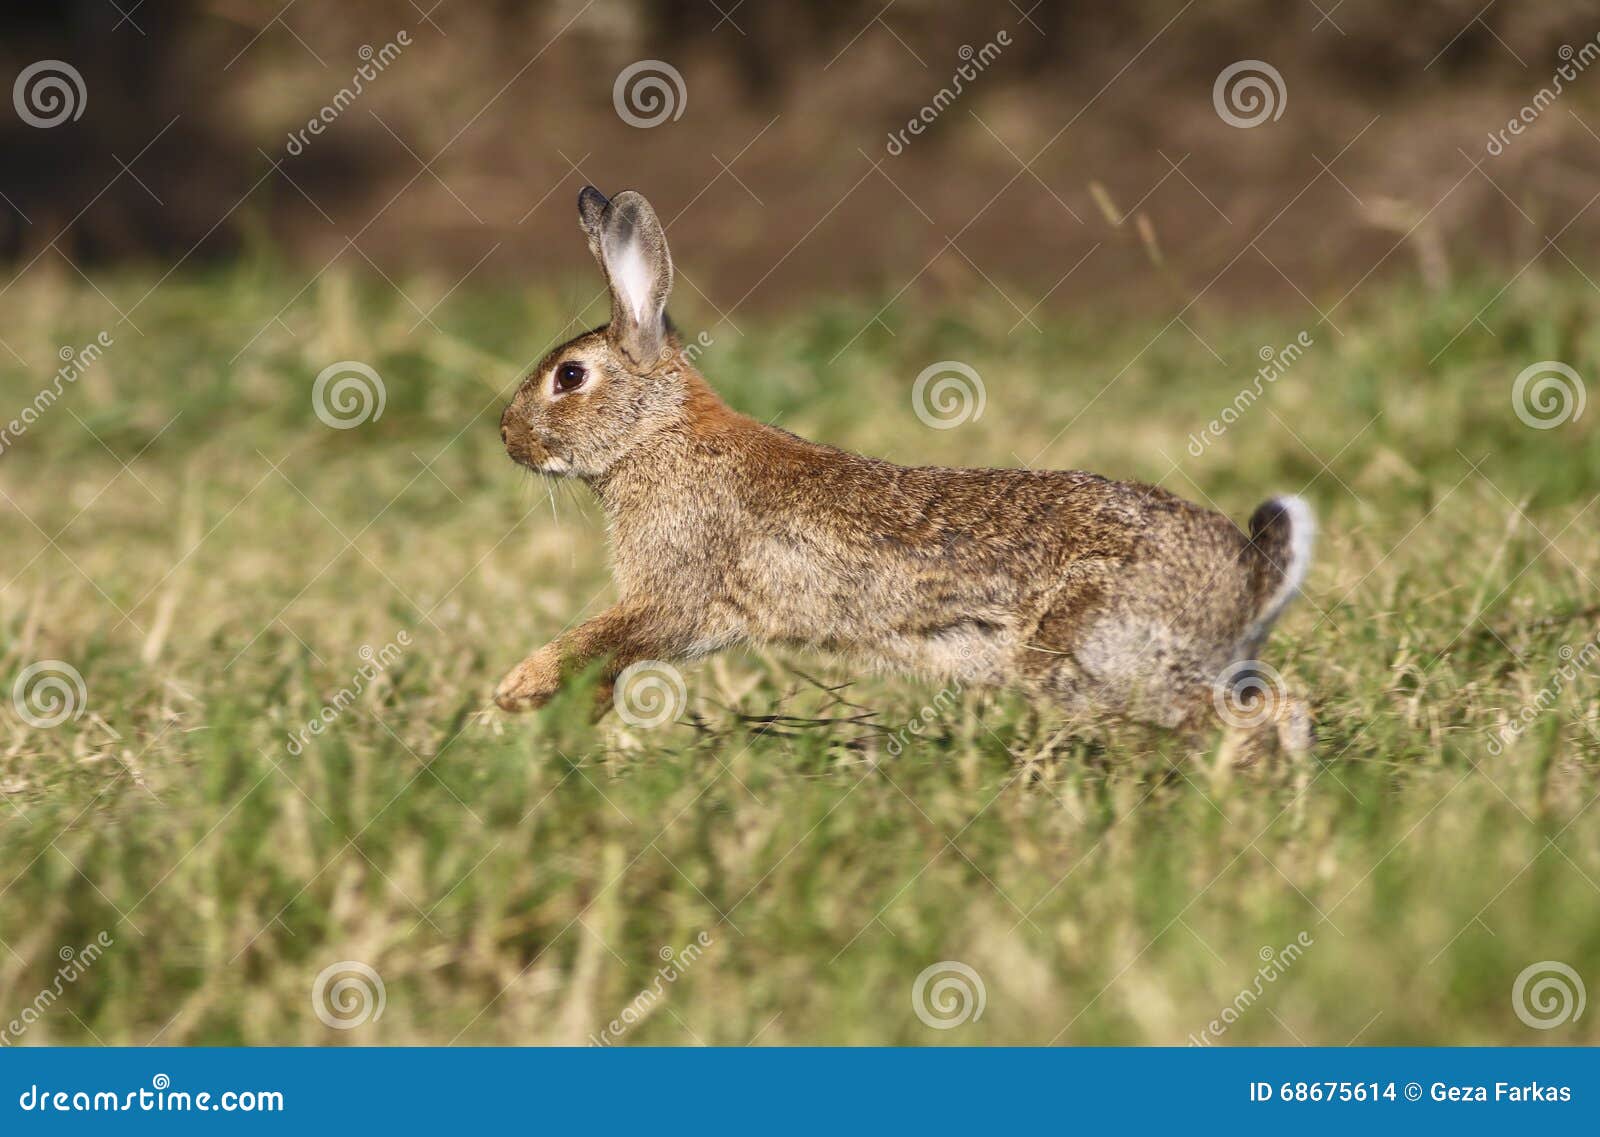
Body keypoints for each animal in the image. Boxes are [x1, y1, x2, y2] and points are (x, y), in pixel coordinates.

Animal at [495, 186, 1314, 762]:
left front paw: (516, 692)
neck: (654, 434)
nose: (507, 437)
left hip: (1102, 658)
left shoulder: (676, 587)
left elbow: (600, 634)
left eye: (570, 377)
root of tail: (1252, 575)